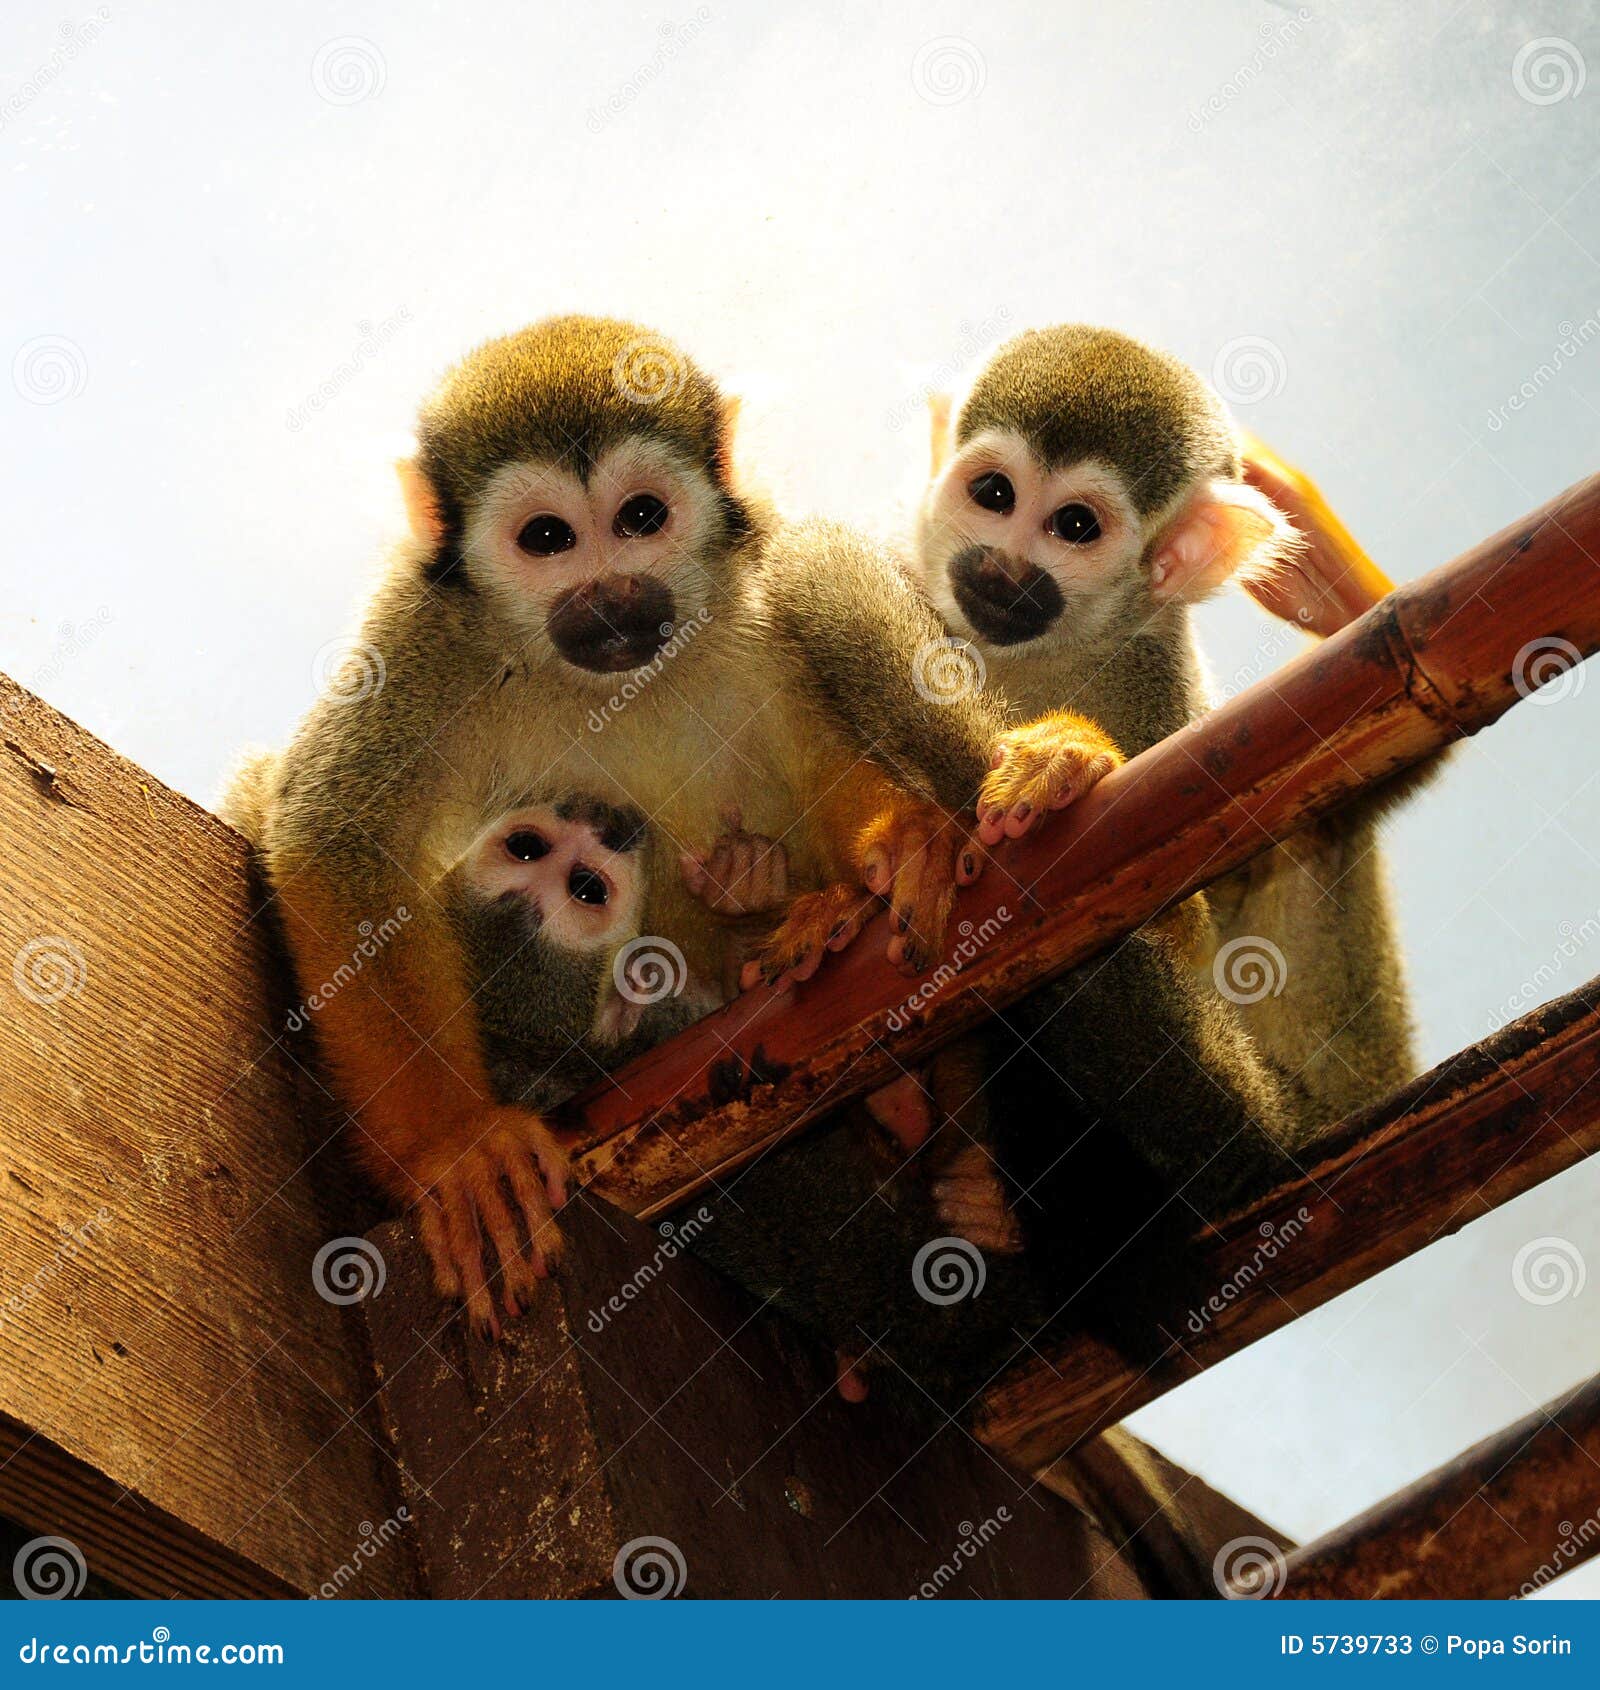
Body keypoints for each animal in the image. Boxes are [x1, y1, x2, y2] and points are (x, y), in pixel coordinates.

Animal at [232, 314, 1105, 1335]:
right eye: (547, 538)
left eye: (642, 518)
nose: (614, 596)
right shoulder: (424, 636)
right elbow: (339, 833)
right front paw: (455, 1147)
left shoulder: (745, 582)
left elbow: (812, 728)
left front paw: (902, 843)